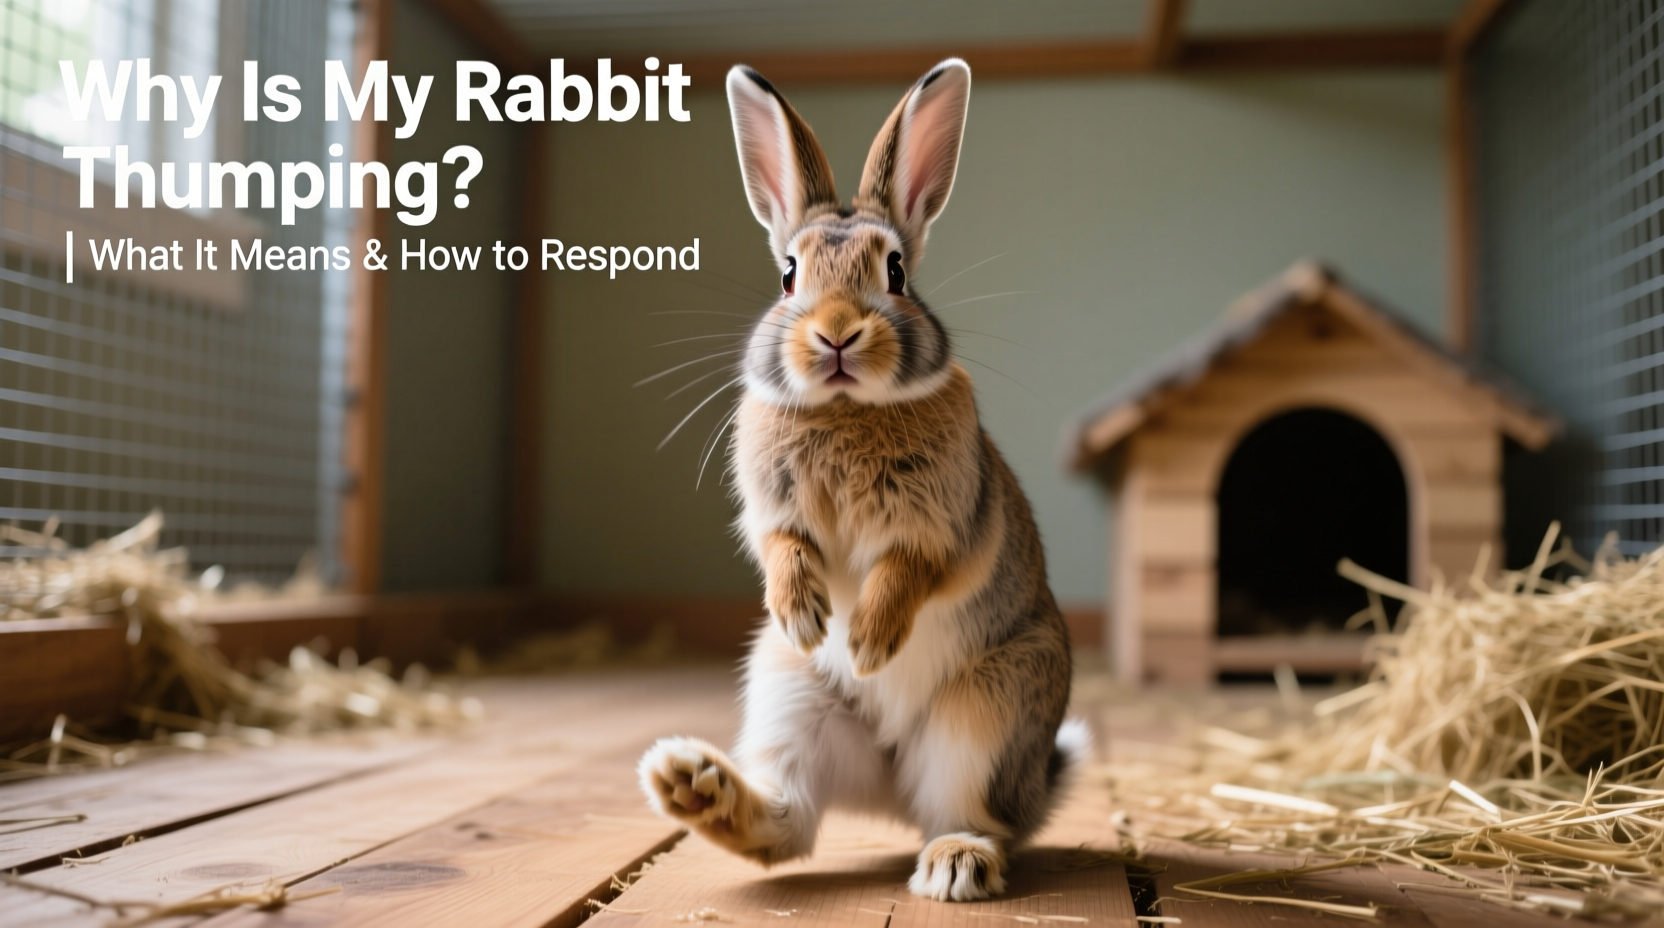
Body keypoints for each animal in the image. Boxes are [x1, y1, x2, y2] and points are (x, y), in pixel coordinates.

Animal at [638, 58, 1085, 903]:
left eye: (896, 271)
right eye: (788, 275)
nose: (837, 333)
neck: (846, 411)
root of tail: (888, 785)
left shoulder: (945, 527)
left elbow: (908, 570)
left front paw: (871, 643)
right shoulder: (772, 515)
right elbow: (783, 548)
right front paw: (808, 617)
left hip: (986, 711)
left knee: (970, 814)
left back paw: (955, 865)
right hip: (790, 695)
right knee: (789, 822)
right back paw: (690, 781)